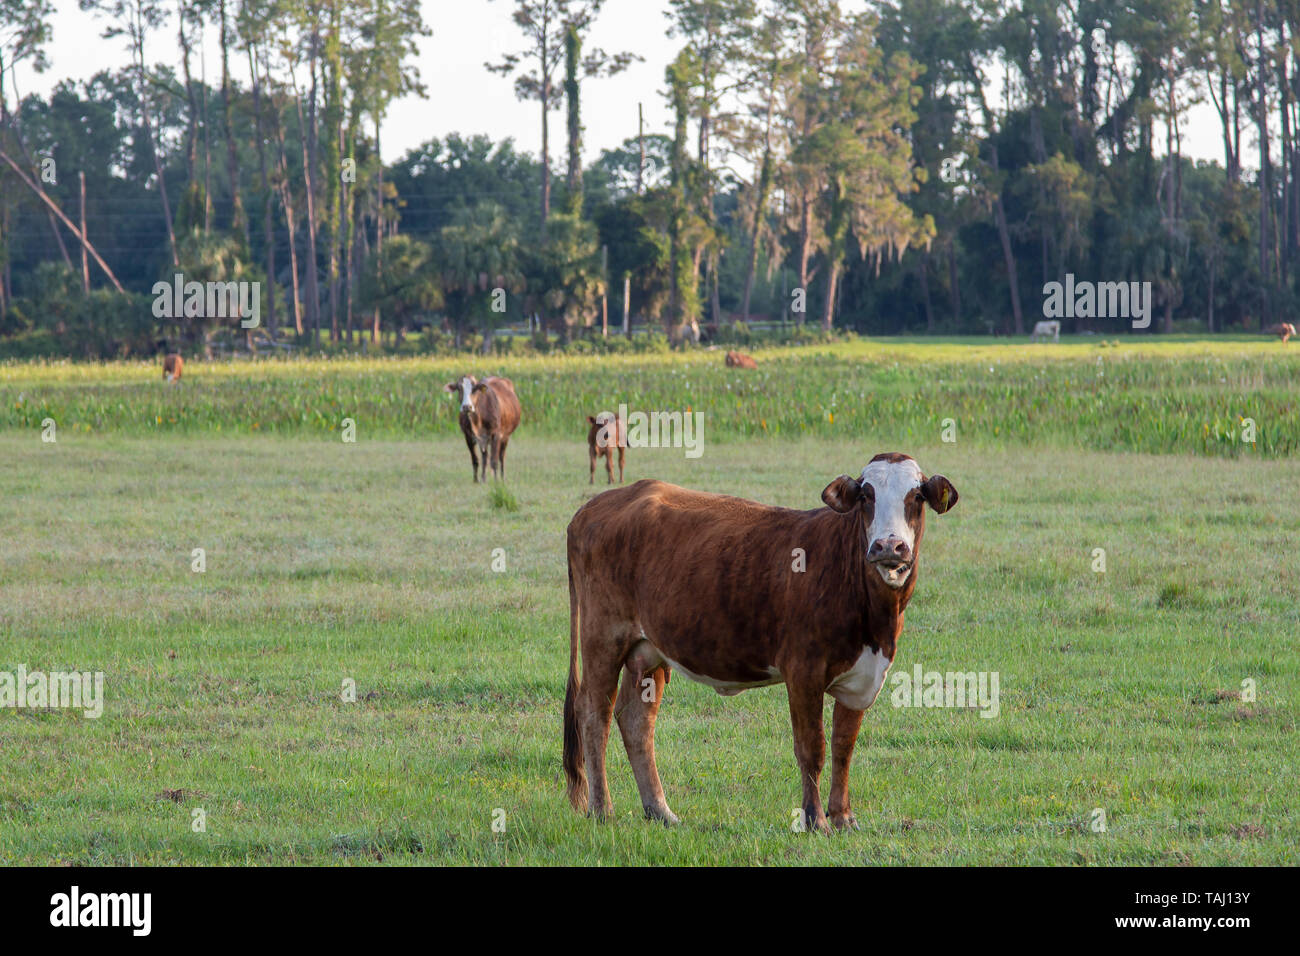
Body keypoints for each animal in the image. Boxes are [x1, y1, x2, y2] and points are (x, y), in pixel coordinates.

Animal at [562, 452, 959, 833]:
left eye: (917, 496)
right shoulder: (803, 671)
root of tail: (596, 506)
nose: (889, 545)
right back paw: (602, 809)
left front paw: (843, 817)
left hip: (649, 651)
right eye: (866, 496)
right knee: (594, 712)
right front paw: (815, 819)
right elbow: (812, 748)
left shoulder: (863, 676)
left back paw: (659, 810)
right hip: (603, 635)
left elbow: (843, 747)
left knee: (636, 719)